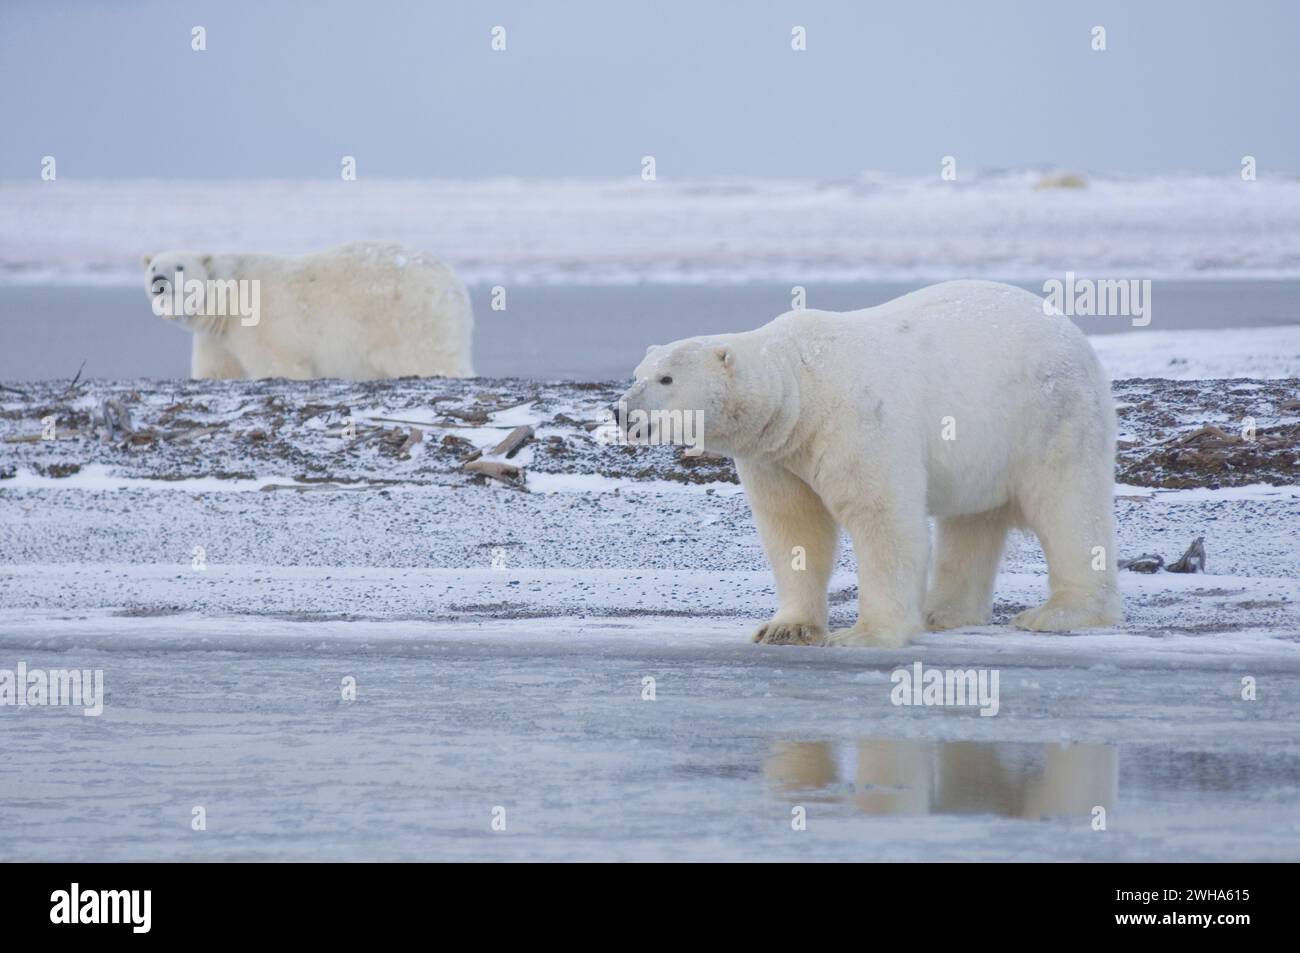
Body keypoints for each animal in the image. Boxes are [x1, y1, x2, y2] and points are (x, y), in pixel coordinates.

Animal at [142, 241, 474, 379]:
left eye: (180, 267)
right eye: (154, 267)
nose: (159, 282)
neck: (230, 293)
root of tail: (454, 284)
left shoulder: (263, 327)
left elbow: (278, 365)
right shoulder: (217, 335)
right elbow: (217, 367)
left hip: (410, 319)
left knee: (431, 358)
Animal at [619, 279, 1123, 647]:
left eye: (666, 379)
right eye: (637, 375)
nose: (622, 411)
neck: (800, 386)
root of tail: (1071, 331)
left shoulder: (856, 420)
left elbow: (883, 519)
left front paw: (865, 634)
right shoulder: (776, 456)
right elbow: (794, 528)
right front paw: (786, 628)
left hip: (1052, 414)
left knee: (1068, 507)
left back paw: (1059, 613)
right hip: (987, 446)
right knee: (971, 523)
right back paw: (943, 612)